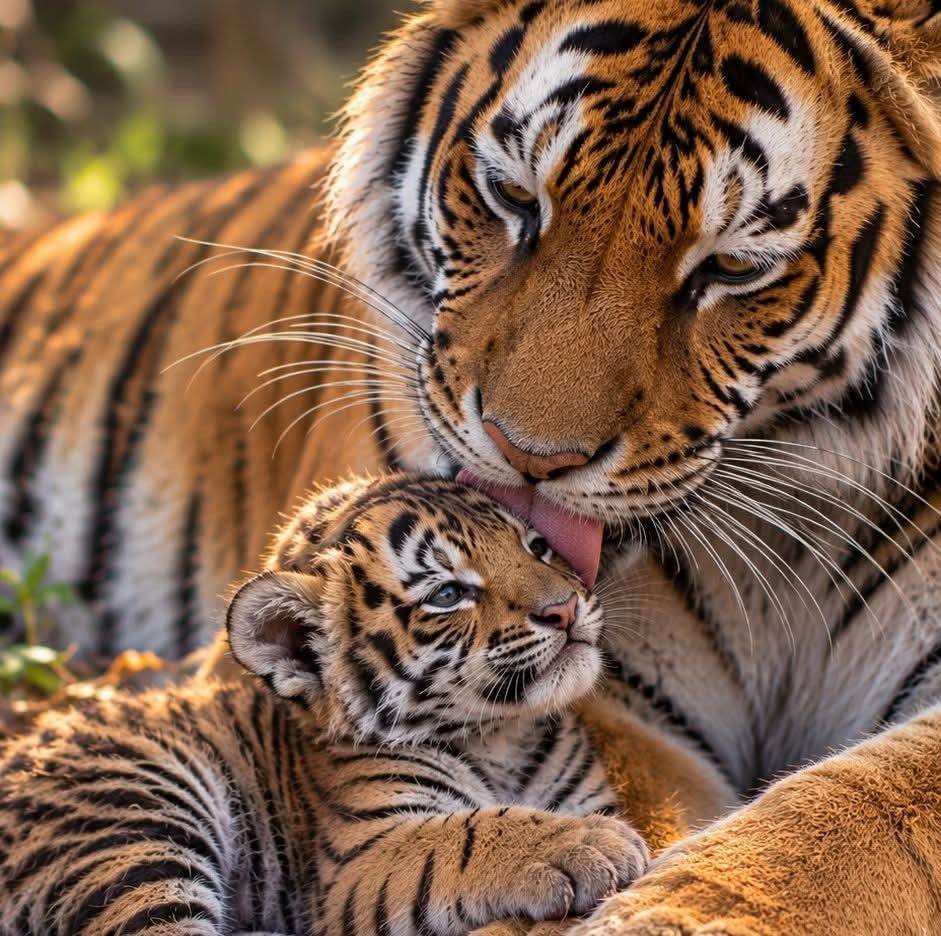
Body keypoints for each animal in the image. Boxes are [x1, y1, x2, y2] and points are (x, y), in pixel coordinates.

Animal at [0, 473, 721, 936]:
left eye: (536, 547)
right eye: (447, 594)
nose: (566, 607)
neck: (501, 738)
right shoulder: (360, 859)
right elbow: (465, 834)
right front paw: (589, 844)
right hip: (137, 818)